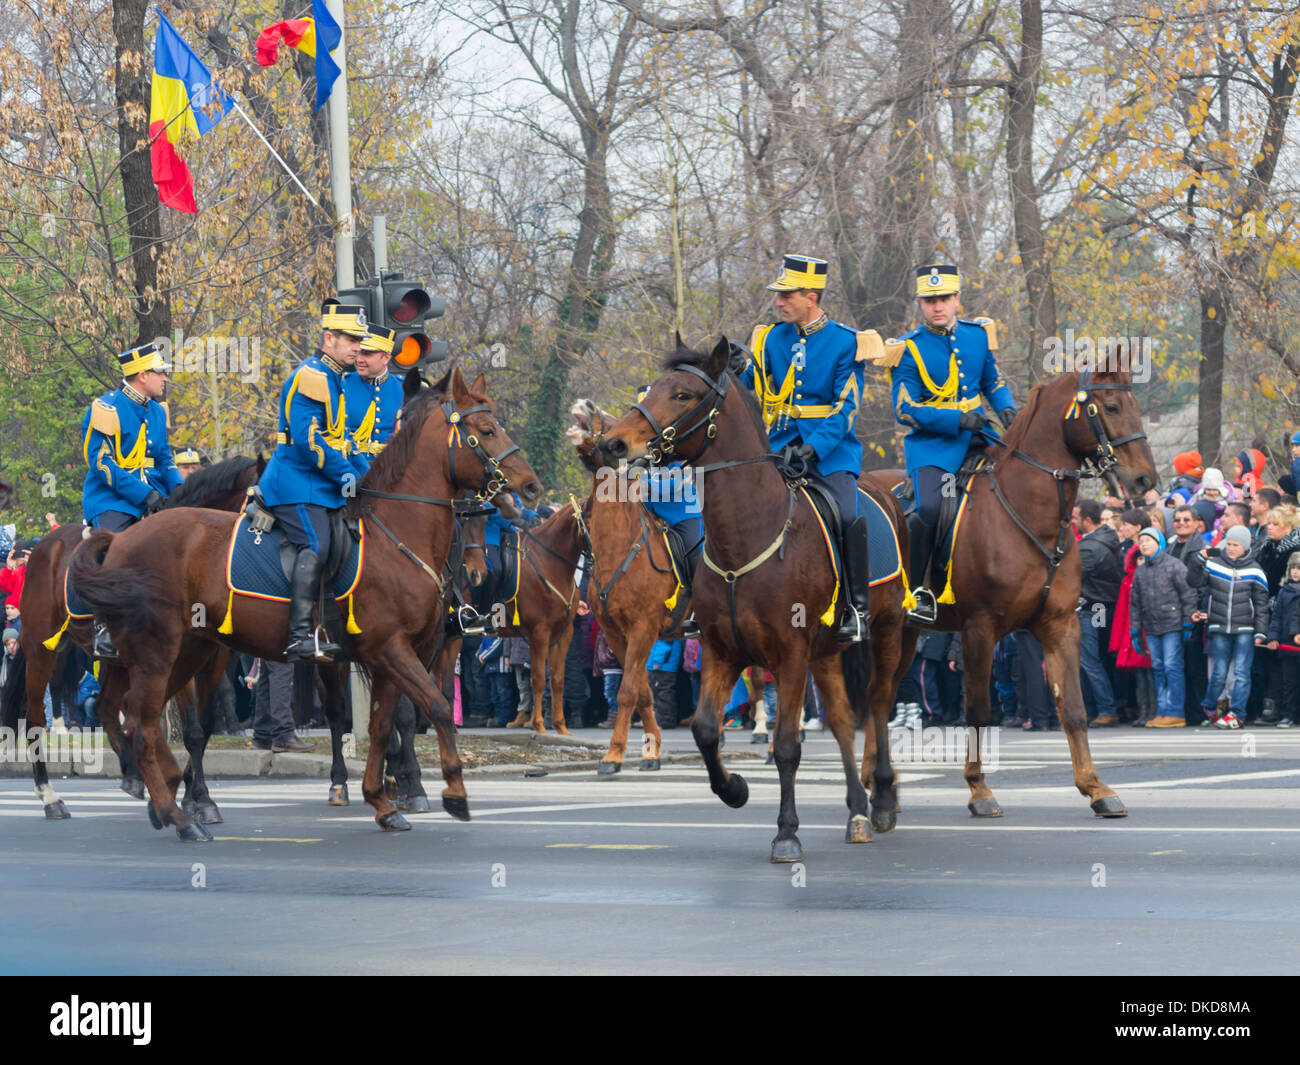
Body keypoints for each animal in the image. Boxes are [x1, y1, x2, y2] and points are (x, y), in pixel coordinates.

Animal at [5, 455, 263, 820]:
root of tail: (47, 545)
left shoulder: (216, 660)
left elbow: (204, 727)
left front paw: (197, 797)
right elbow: (192, 729)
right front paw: (192, 797)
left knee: (106, 707)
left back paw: (132, 772)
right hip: (41, 649)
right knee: (36, 720)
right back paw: (50, 796)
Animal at [65, 367, 542, 839]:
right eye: (486, 430)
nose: (530, 487)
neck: (396, 533)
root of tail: (122, 541)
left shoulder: (396, 654)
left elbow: (384, 725)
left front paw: (384, 801)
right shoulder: (391, 649)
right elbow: (437, 709)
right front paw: (453, 793)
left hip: (188, 652)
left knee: (134, 718)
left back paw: (164, 799)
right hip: (155, 653)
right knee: (141, 723)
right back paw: (177, 815)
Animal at [597, 337, 910, 862]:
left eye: (682, 393)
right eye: (653, 386)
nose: (615, 443)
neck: (746, 536)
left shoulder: (789, 655)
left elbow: (785, 746)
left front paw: (786, 832)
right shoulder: (722, 650)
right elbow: (705, 730)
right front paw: (735, 788)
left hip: (885, 632)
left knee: (879, 703)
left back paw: (883, 798)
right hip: (827, 652)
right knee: (842, 719)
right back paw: (856, 810)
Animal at [860, 365, 1157, 819]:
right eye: (1110, 406)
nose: (1145, 479)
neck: (1029, 514)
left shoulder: (1060, 626)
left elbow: (1074, 709)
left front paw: (1095, 787)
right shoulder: (979, 629)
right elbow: (979, 711)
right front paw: (979, 790)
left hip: (903, 632)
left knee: (881, 692)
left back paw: (875, 783)